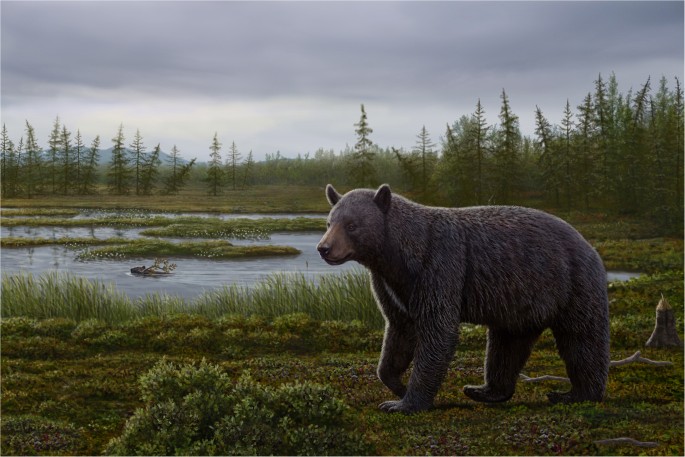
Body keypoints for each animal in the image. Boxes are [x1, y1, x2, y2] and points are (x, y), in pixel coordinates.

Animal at [317, 184, 610, 413]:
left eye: (352, 225)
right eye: (329, 222)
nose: (323, 248)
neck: (400, 257)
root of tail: (588, 244)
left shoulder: (440, 267)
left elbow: (438, 331)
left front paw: (405, 403)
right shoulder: (392, 286)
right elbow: (399, 329)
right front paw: (397, 386)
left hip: (574, 286)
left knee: (582, 339)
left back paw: (576, 394)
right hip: (520, 301)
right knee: (507, 345)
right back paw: (484, 390)